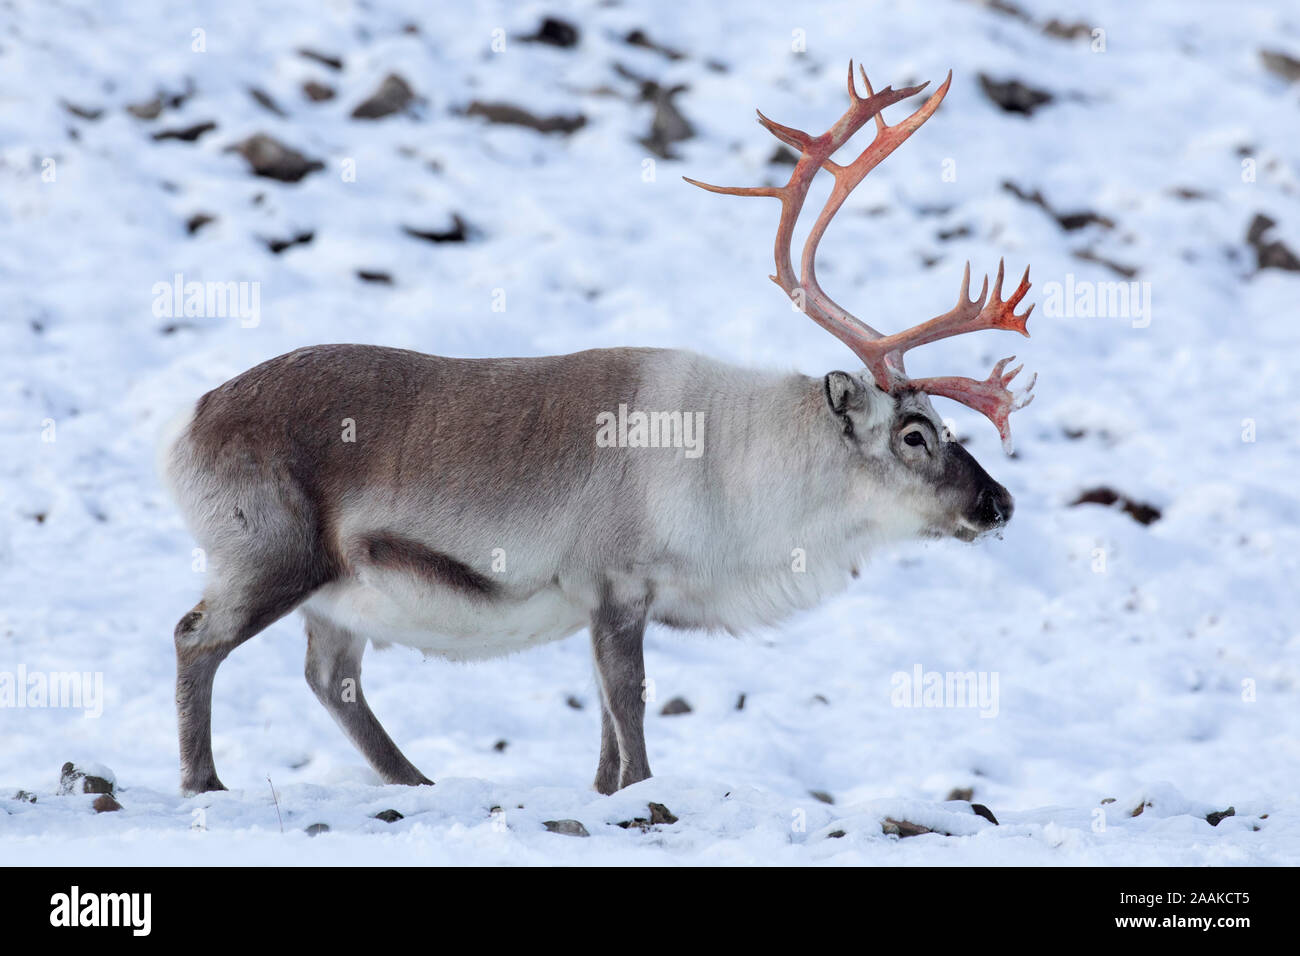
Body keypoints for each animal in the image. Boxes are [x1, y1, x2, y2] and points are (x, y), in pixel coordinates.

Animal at [164, 63, 1034, 796]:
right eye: (915, 433)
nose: (1000, 504)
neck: (742, 472)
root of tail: (189, 423)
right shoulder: (616, 584)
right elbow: (631, 710)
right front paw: (643, 797)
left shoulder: (605, 605)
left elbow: (608, 731)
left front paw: (607, 794)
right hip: (271, 554)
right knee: (194, 636)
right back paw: (205, 782)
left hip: (338, 595)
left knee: (330, 679)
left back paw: (415, 783)